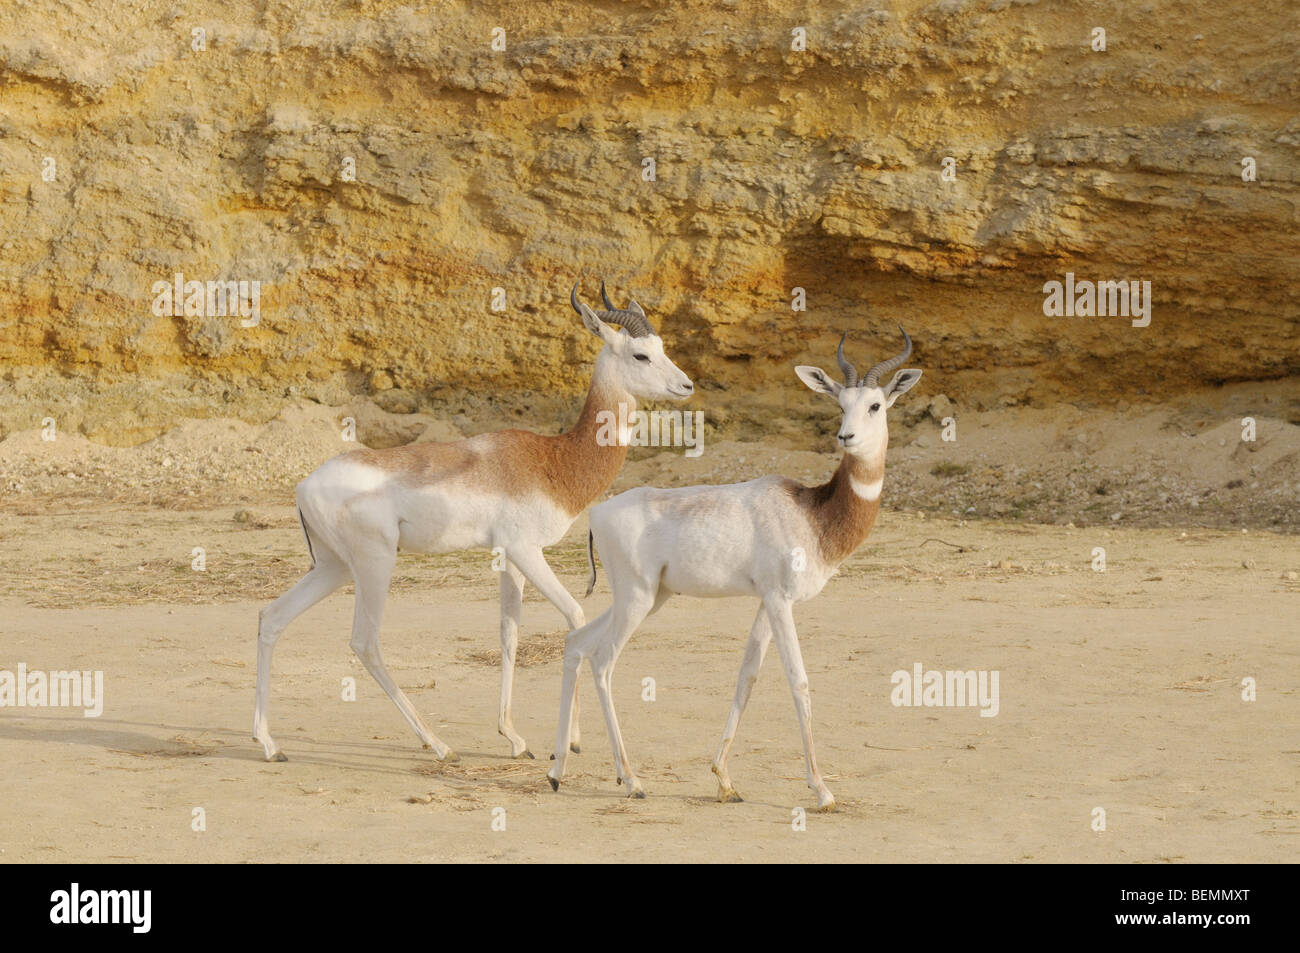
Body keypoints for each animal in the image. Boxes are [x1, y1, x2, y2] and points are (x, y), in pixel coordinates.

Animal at [253, 282, 694, 763]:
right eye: (640, 355)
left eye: (663, 347)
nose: (686, 385)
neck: (551, 461)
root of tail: (303, 485)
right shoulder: (526, 550)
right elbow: (575, 614)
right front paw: (570, 741)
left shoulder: (508, 557)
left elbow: (509, 632)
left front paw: (514, 737)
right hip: (374, 563)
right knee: (364, 641)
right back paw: (438, 744)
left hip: (333, 567)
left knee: (272, 617)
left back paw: (269, 744)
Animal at [546, 327, 920, 811]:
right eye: (840, 404)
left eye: (875, 405)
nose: (846, 436)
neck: (813, 513)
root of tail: (596, 513)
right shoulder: (780, 601)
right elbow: (798, 681)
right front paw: (822, 790)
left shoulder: (766, 601)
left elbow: (748, 676)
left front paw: (724, 779)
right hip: (636, 601)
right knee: (602, 661)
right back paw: (631, 780)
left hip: (648, 598)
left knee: (576, 643)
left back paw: (556, 770)